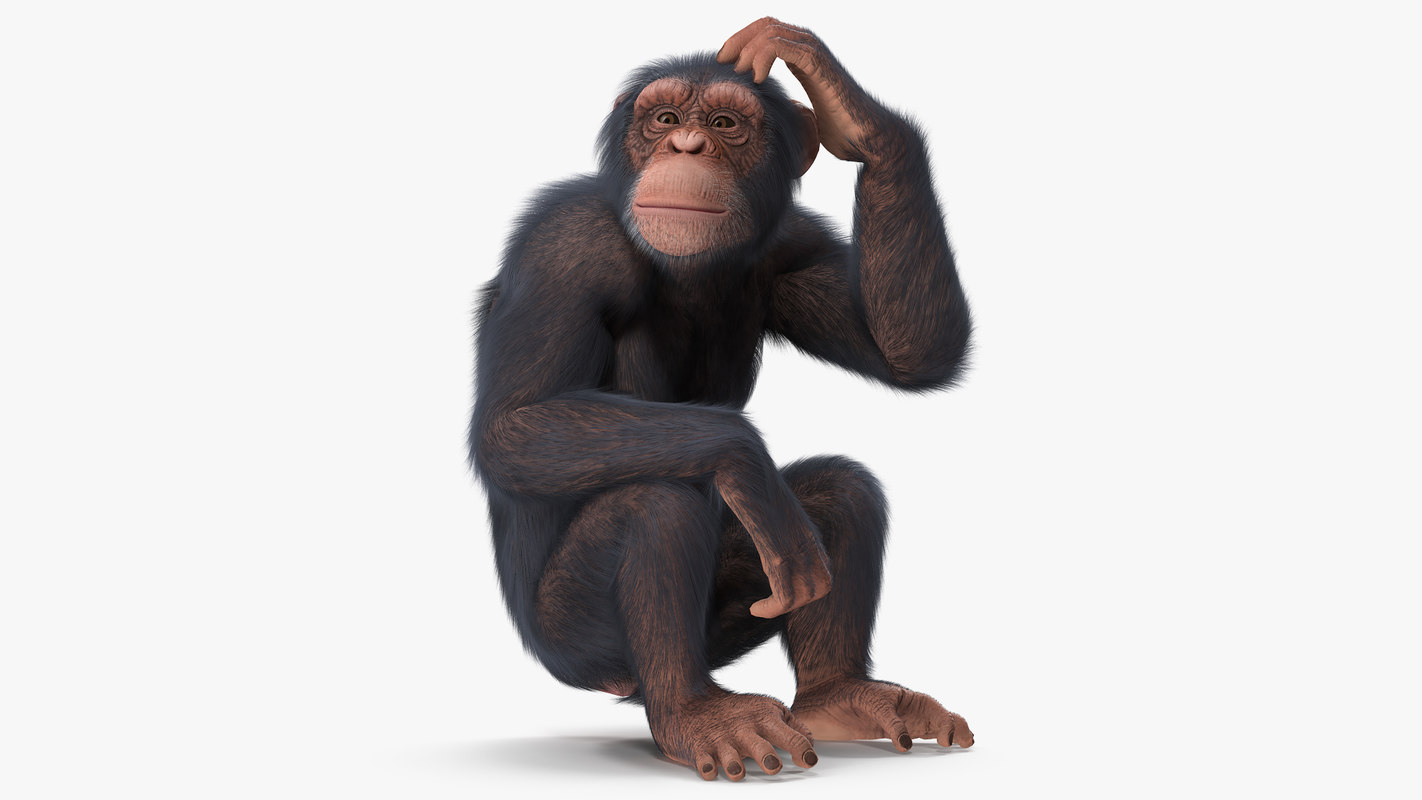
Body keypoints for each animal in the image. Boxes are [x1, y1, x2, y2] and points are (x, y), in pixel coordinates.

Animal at [470, 18, 974, 780]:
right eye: (663, 119)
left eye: (726, 124)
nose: (686, 148)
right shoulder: (566, 245)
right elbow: (513, 425)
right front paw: (742, 456)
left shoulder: (794, 247)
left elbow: (910, 351)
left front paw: (838, 99)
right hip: (569, 640)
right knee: (655, 504)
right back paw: (697, 716)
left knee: (838, 490)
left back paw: (839, 697)